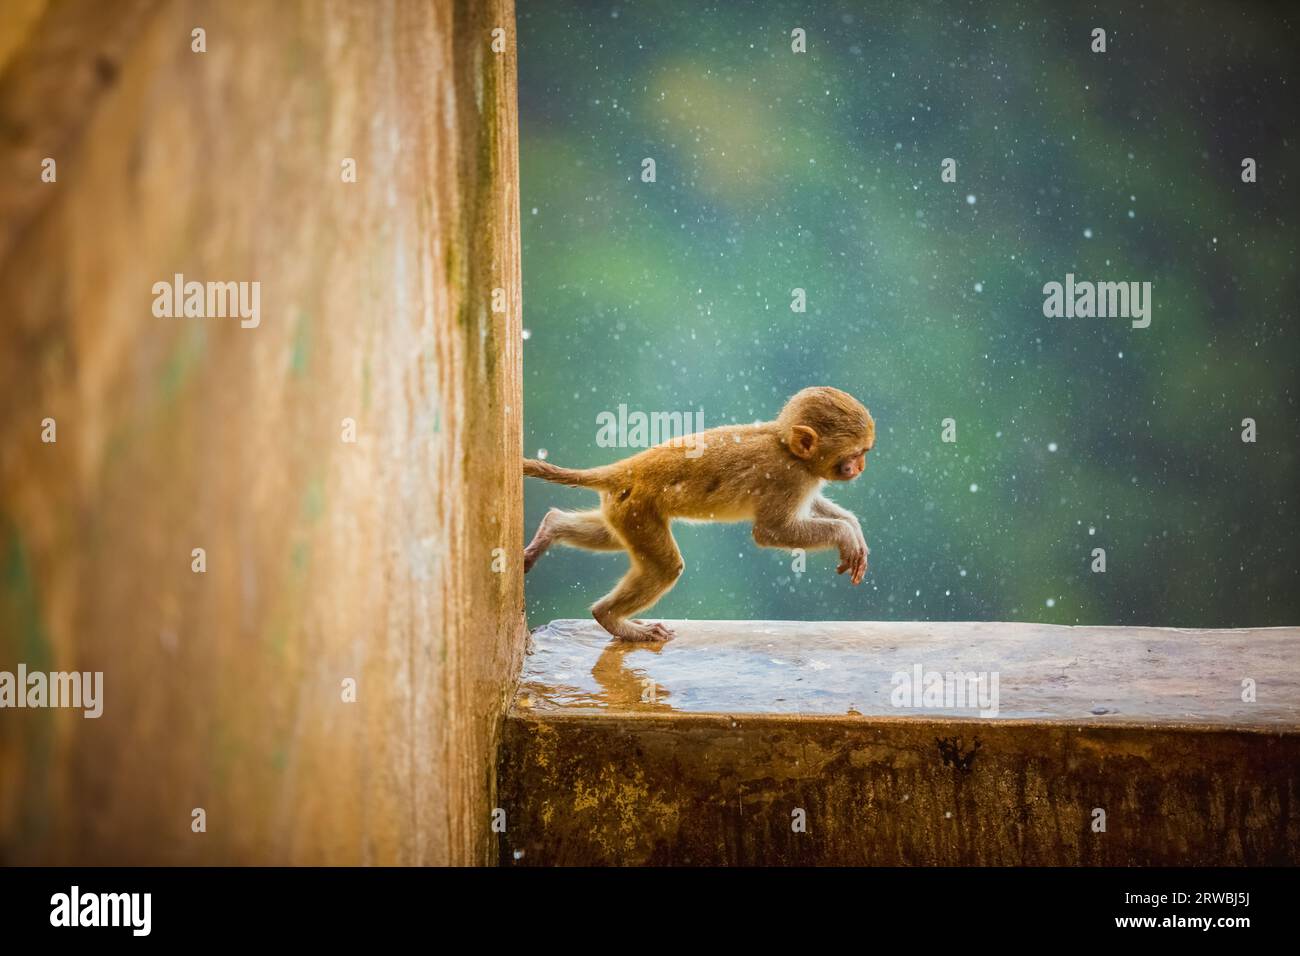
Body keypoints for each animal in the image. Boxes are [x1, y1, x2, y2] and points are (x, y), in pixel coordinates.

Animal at [522, 386, 875, 642]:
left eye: (863, 453)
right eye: (854, 455)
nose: (860, 467)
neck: (786, 445)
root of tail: (628, 468)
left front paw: (853, 528)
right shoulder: (791, 478)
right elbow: (770, 532)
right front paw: (845, 534)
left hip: (622, 506)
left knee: (608, 535)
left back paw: (551, 528)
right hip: (636, 508)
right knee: (665, 567)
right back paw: (610, 618)